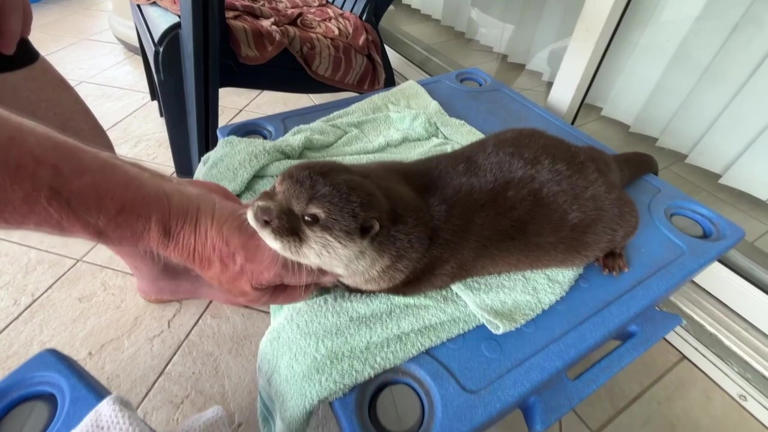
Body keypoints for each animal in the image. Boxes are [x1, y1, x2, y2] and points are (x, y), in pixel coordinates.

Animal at [246, 128, 658, 294]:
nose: (261, 212)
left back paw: (613, 258)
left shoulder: (396, 282)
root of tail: (603, 164)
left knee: (632, 222)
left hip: (613, 216)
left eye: (310, 218)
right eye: (276, 186)